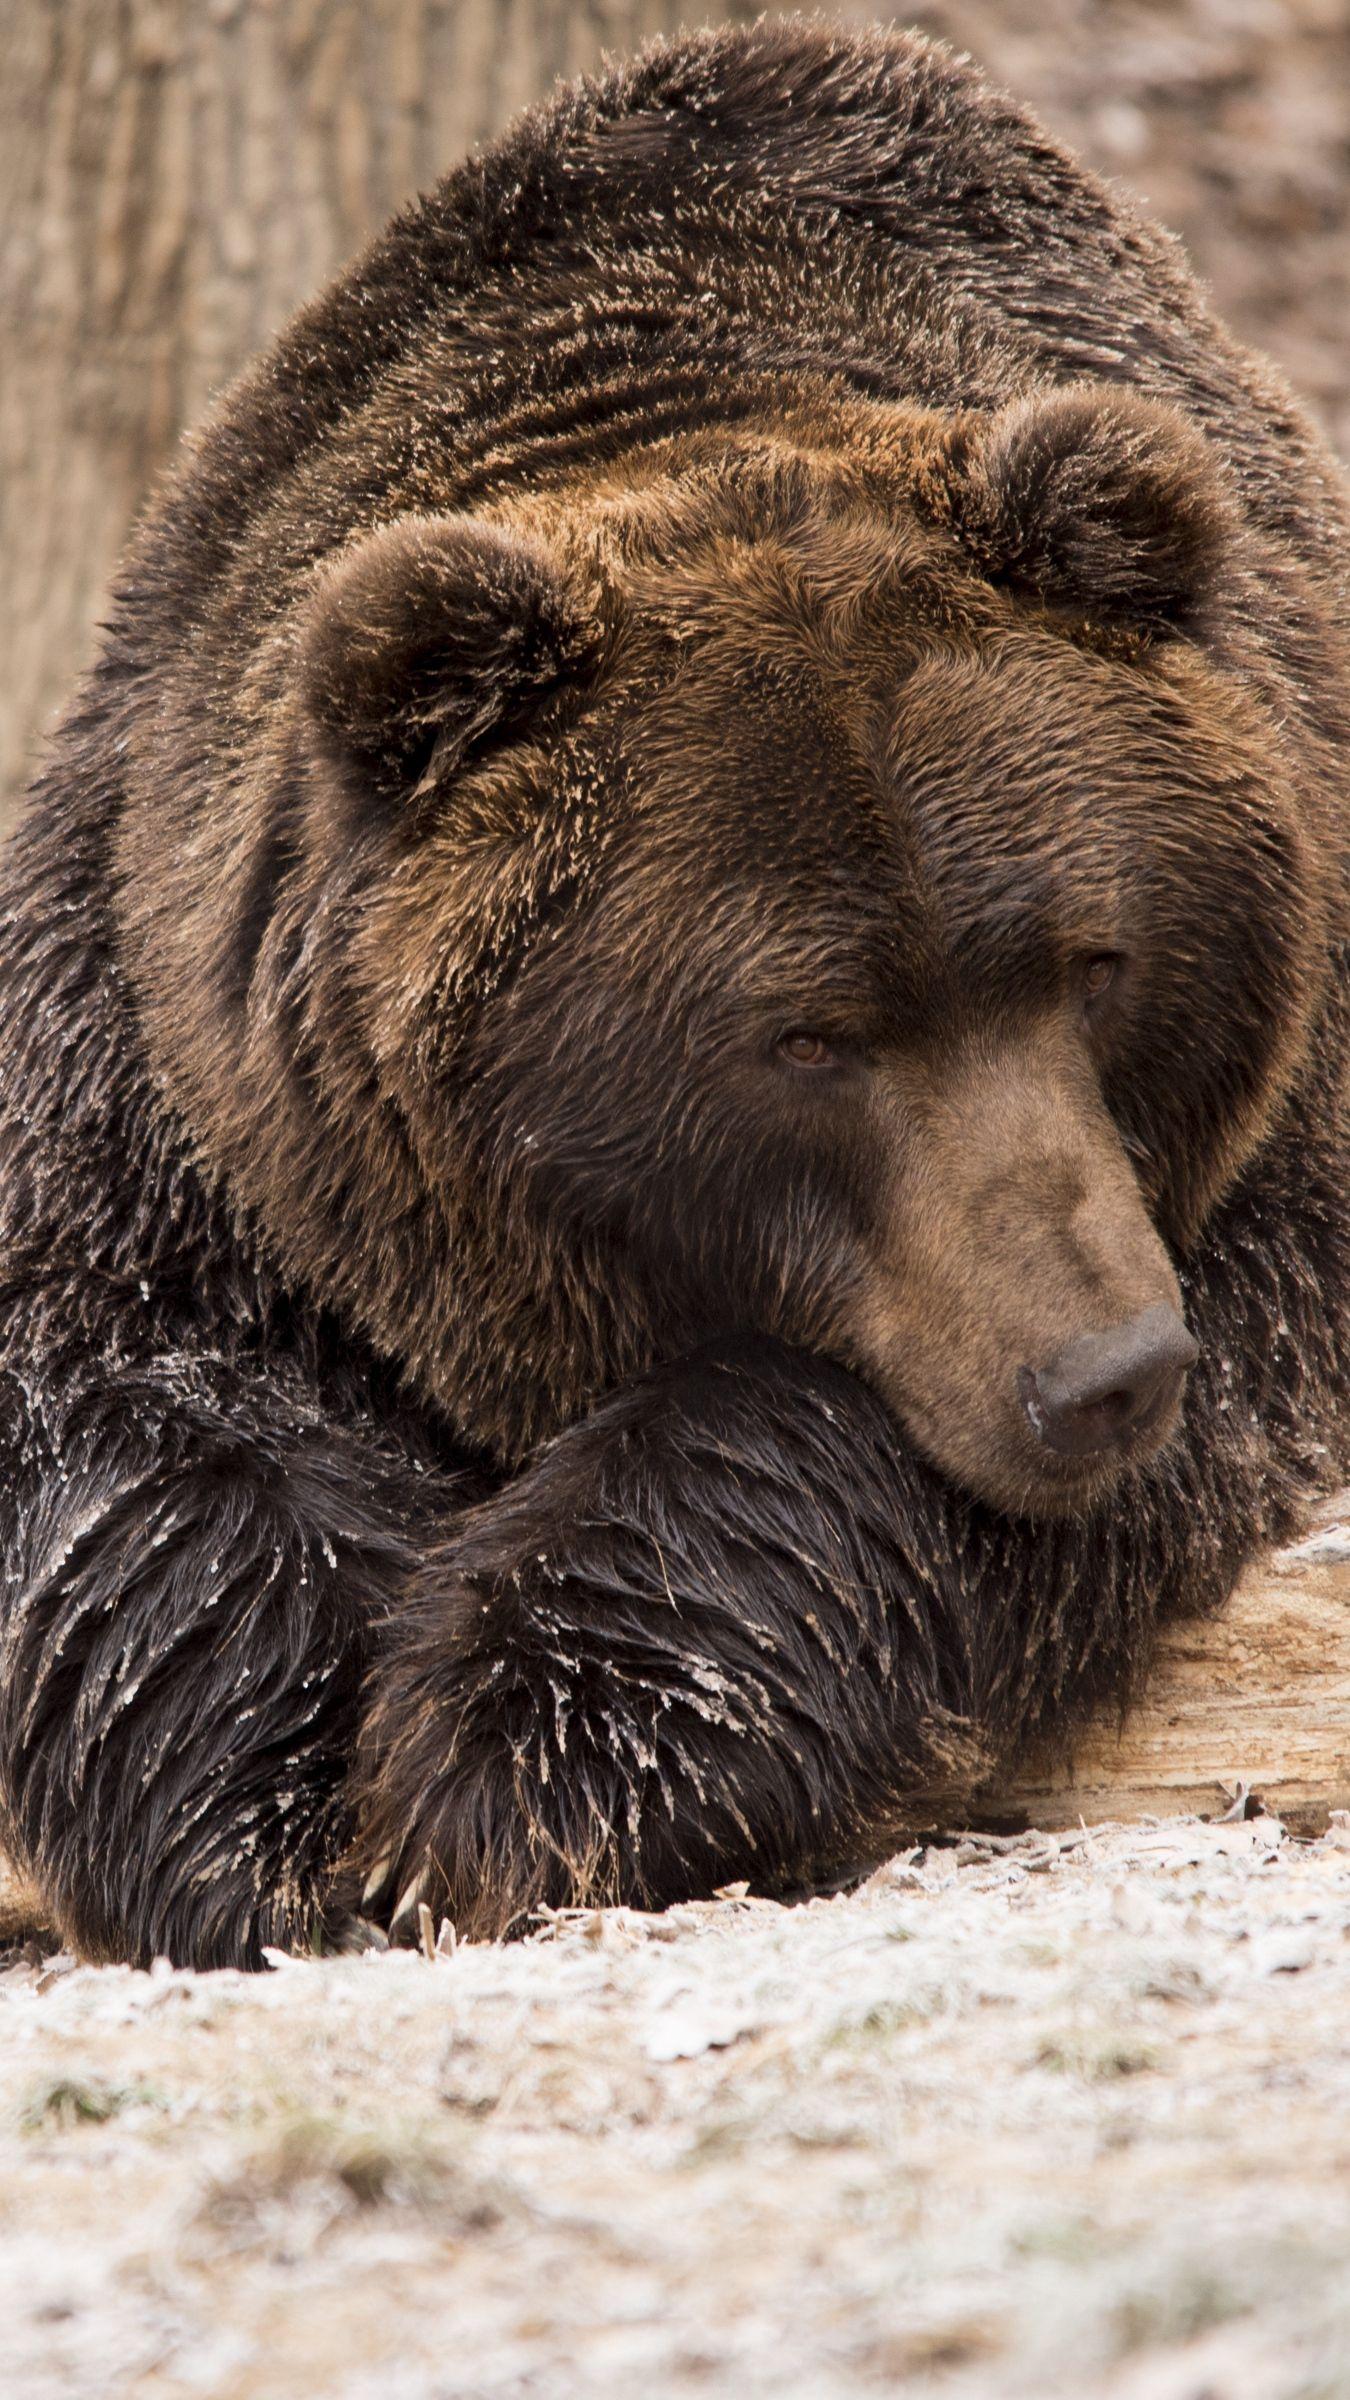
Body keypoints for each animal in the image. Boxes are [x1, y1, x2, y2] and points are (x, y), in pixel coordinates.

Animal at [0, 17, 1346, 1971]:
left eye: (1096, 961)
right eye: (807, 1036)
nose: (1102, 1373)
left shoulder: (1270, 1146)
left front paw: (529, 1738)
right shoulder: (165, 1032)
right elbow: (115, 1380)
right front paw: (264, 1798)